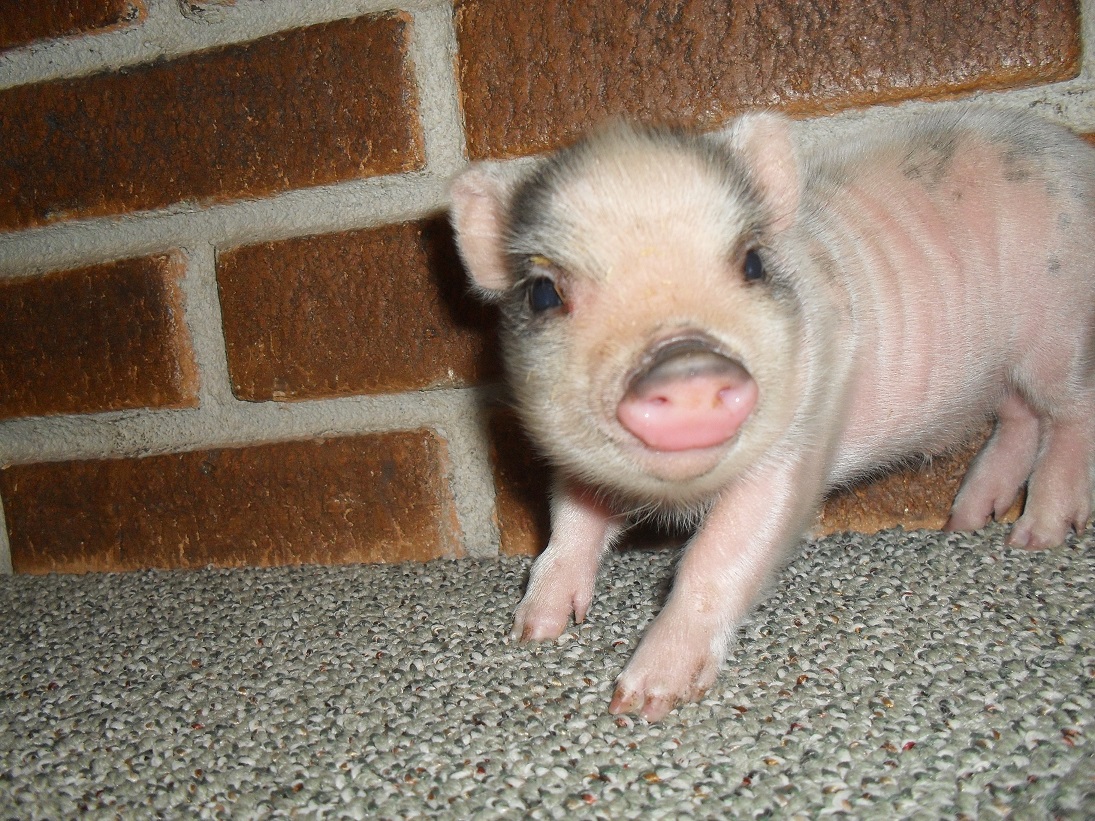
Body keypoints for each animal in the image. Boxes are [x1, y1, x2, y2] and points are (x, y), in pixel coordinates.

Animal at [448, 102, 1095, 721]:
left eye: (753, 263)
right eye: (543, 293)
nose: (687, 366)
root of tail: (1071, 152)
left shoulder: (799, 440)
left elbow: (720, 552)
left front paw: (639, 702)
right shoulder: (575, 455)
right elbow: (571, 521)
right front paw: (531, 631)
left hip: (1062, 328)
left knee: (1072, 415)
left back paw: (1034, 538)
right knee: (1020, 420)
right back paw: (966, 520)